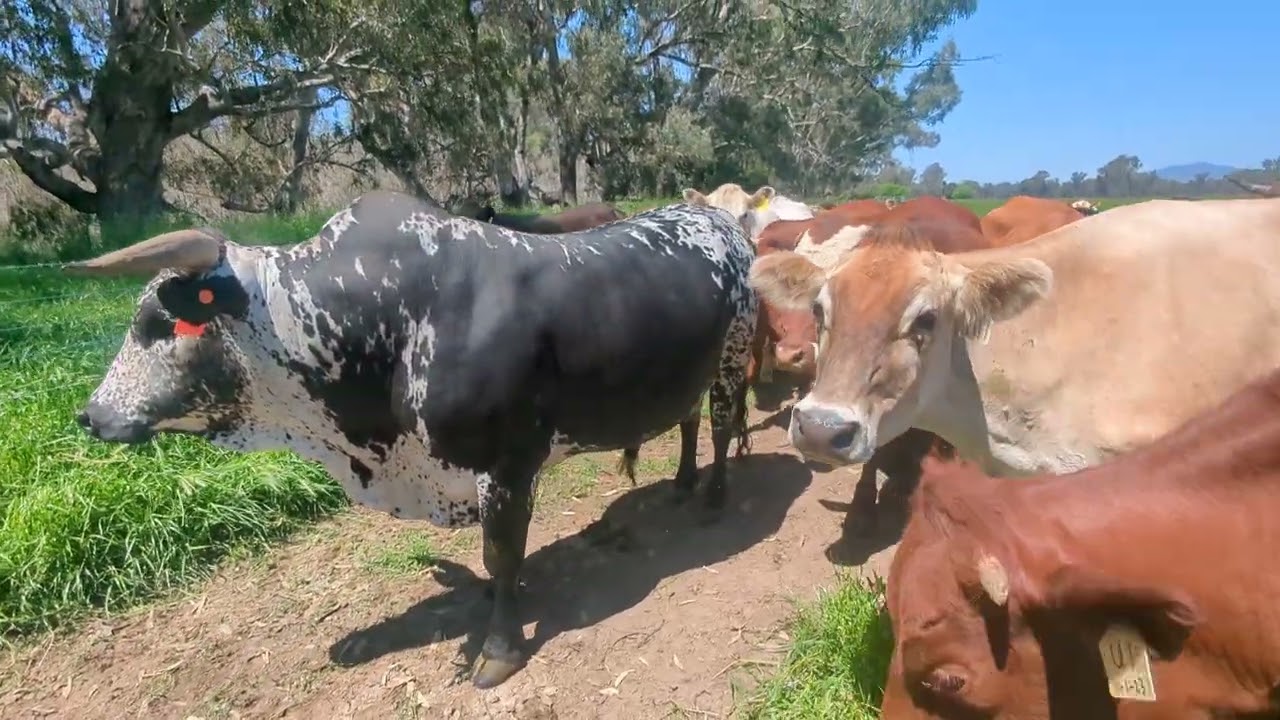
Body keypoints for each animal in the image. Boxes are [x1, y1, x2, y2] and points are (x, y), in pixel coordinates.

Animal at [65, 190, 758, 689]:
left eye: (159, 323)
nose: (90, 416)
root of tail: (716, 215)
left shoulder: (507, 463)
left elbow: (502, 556)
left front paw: (499, 648)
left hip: (733, 355)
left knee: (723, 424)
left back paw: (716, 496)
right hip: (691, 371)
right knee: (691, 419)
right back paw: (683, 482)